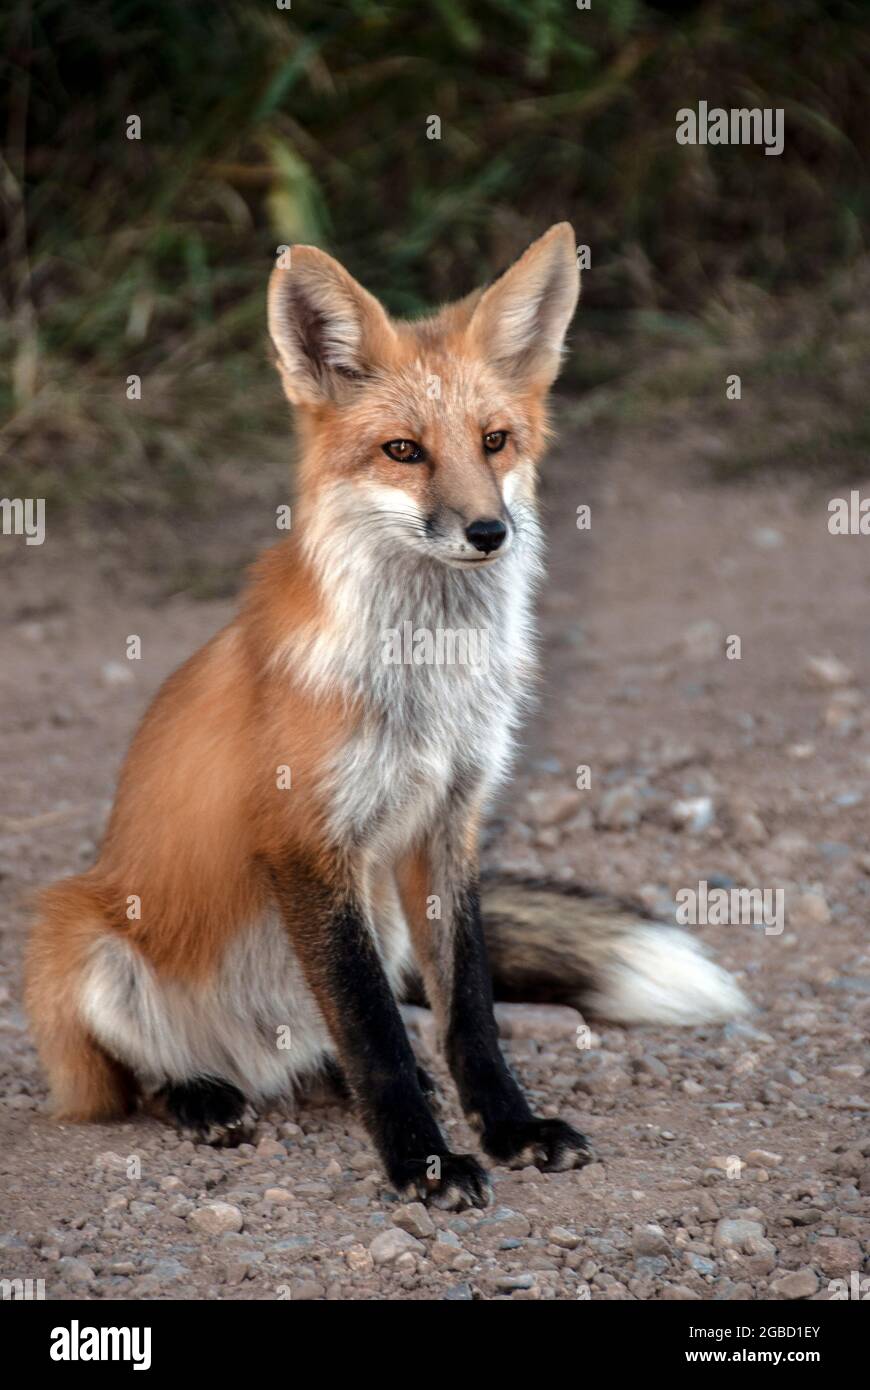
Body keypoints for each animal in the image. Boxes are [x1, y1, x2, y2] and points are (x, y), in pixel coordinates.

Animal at [26, 224, 748, 1209]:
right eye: (404, 450)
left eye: (495, 442)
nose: (489, 533)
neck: (428, 685)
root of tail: (258, 1061)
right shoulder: (307, 844)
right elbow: (376, 1031)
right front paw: (423, 1161)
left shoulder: (449, 820)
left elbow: (466, 1013)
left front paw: (508, 1127)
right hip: (83, 940)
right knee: (139, 1079)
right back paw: (201, 1097)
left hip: (383, 914)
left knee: (342, 1044)